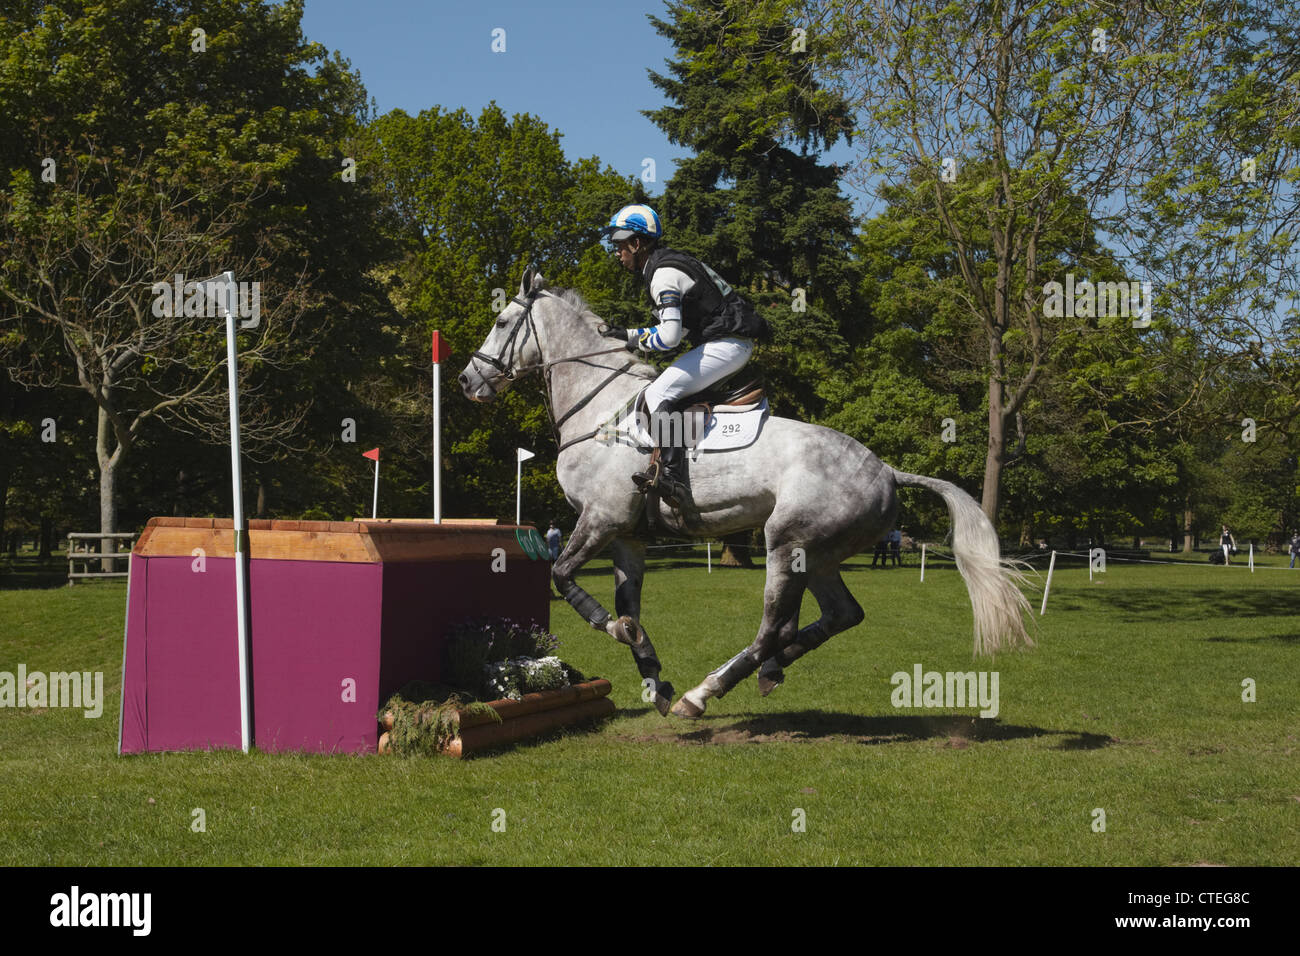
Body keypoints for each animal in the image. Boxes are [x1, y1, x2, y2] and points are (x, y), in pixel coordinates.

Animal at [459, 269, 1033, 719]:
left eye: (502, 323)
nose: (466, 380)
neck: (598, 409)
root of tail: (885, 470)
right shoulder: (627, 538)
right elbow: (630, 605)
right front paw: (653, 675)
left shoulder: (600, 519)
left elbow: (563, 577)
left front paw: (621, 635)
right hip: (818, 555)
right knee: (840, 615)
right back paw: (768, 671)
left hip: (786, 542)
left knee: (772, 628)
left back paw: (705, 692)